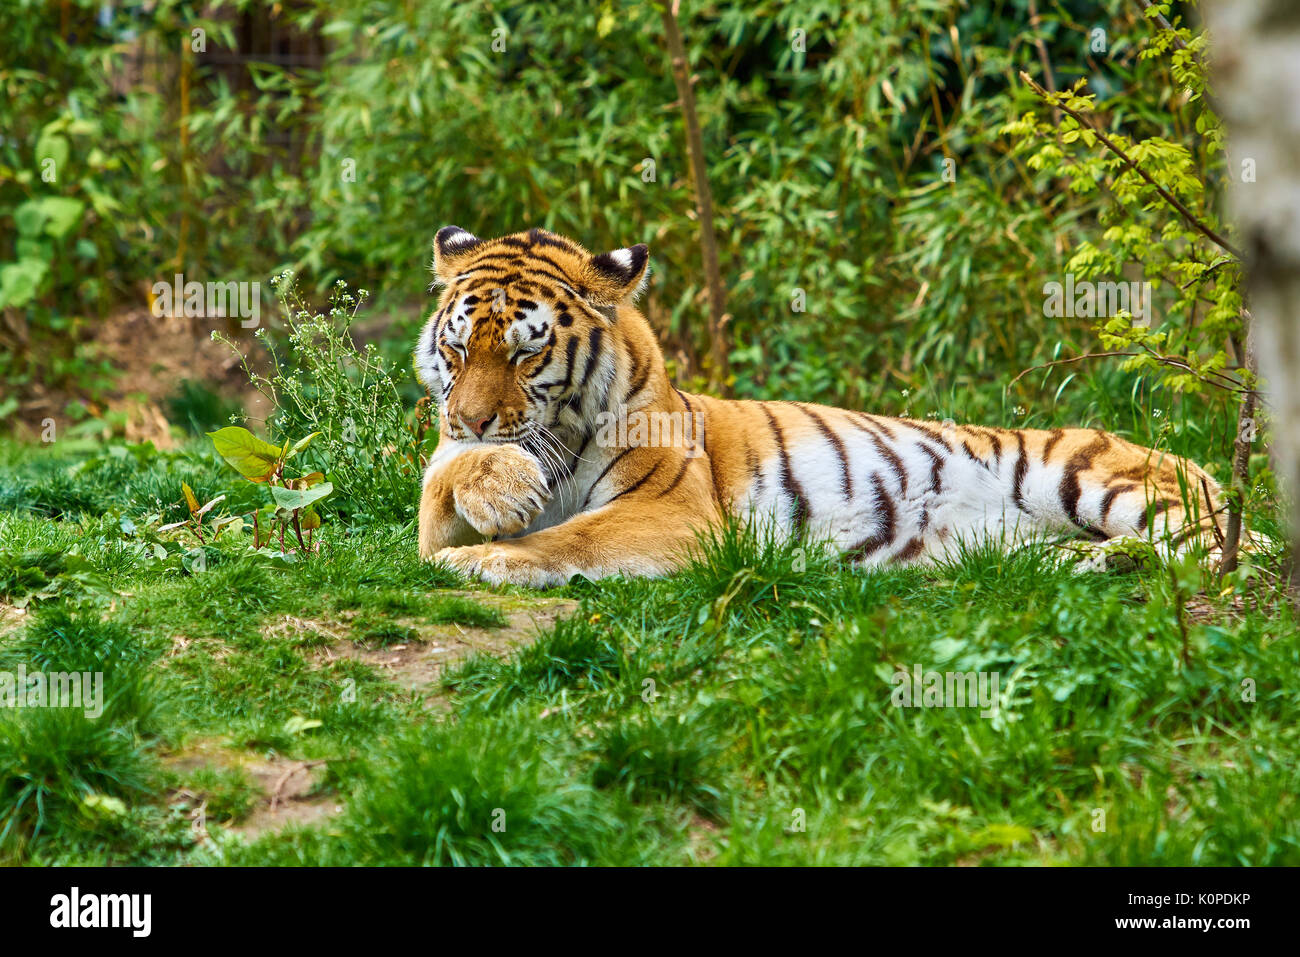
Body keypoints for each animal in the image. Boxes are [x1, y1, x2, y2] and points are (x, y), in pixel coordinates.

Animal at [414, 226, 1223, 587]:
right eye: (457, 350)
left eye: (524, 354)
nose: (470, 419)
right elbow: (437, 484)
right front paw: (498, 490)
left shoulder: (670, 512)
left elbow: (567, 539)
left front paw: (481, 555)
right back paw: (1101, 565)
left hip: (1091, 477)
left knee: (1221, 550)